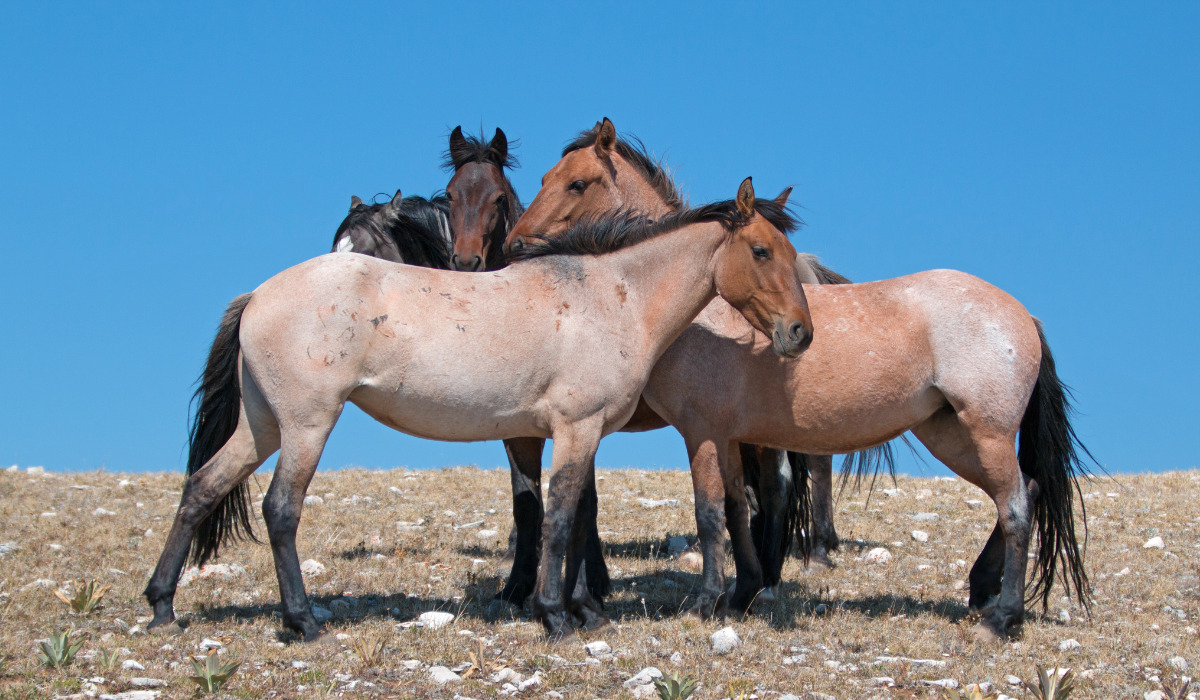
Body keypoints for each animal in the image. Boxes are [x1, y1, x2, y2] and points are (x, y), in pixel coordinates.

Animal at [143, 178, 814, 641]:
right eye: (760, 251)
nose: (800, 333)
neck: (611, 296)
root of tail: (258, 294)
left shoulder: (583, 433)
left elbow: (577, 516)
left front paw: (583, 611)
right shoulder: (575, 428)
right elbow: (559, 516)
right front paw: (555, 615)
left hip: (261, 425)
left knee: (202, 488)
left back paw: (162, 608)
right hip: (306, 425)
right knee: (280, 509)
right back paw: (302, 621)